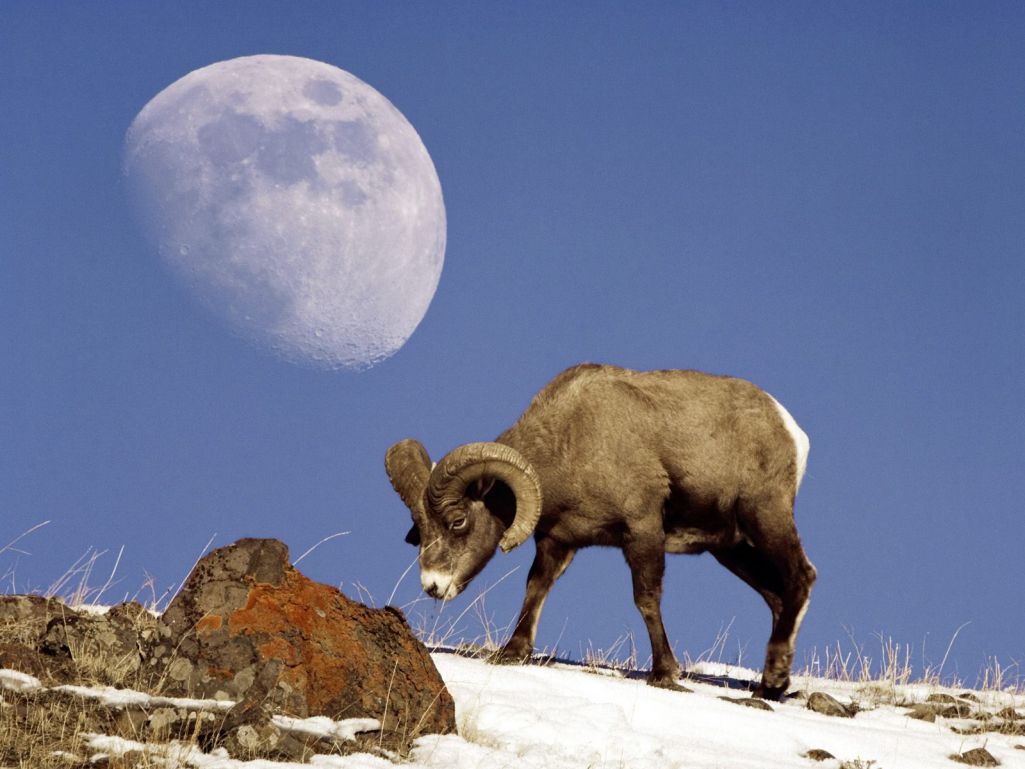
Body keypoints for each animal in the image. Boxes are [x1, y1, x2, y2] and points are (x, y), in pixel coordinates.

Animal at [385, 365, 815, 701]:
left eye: (458, 521)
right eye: (421, 529)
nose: (433, 586)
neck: (572, 441)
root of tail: (790, 429)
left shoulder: (642, 530)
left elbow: (646, 599)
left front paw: (664, 673)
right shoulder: (558, 542)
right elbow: (535, 589)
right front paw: (513, 652)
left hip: (766, 517)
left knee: (801, 576)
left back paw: (772, 681)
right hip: (732, 549)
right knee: (777, 598)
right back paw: (772, 686)